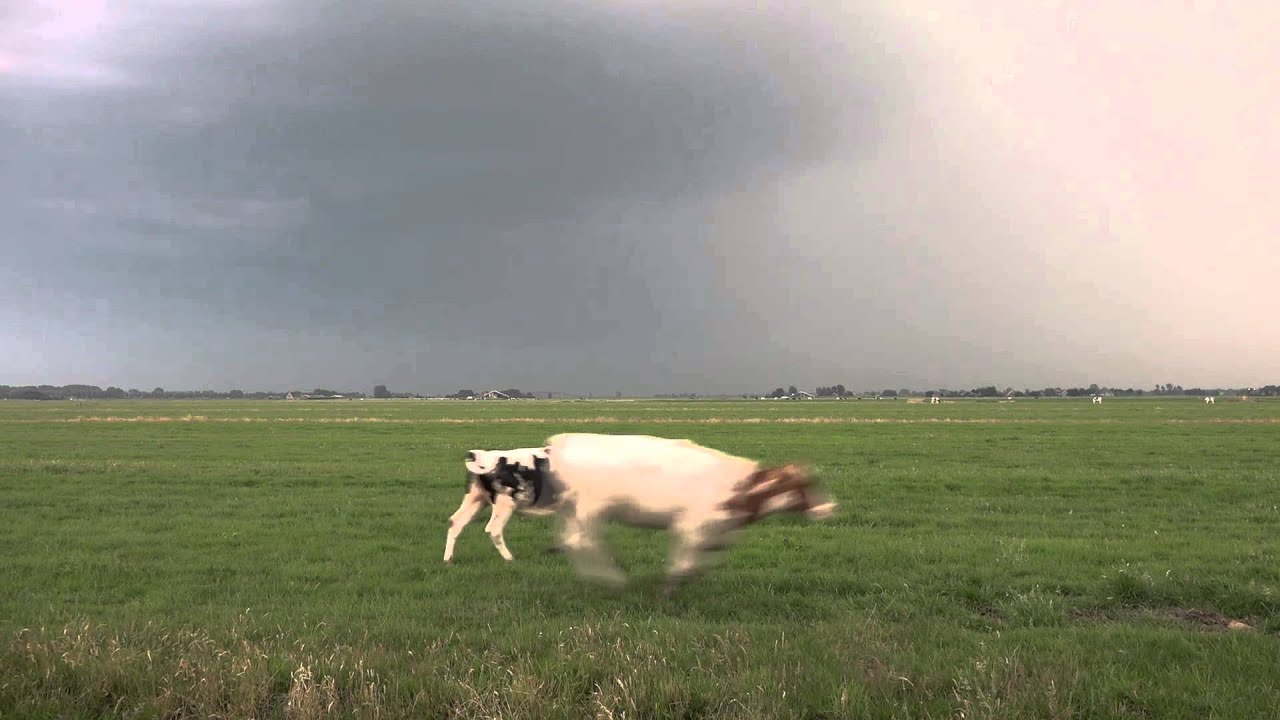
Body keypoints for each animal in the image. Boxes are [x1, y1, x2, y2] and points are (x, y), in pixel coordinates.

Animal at [544, 432, 837, 595]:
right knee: (581, 542)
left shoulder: (718, 531)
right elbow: (684, 560)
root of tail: (562, 441)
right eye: (802, 485)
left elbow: (707, 557)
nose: (828, 509)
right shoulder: (691, 525)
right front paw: (670, 587)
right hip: (590, 509)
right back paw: (613, 579)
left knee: (571, 540)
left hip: (574, 510)